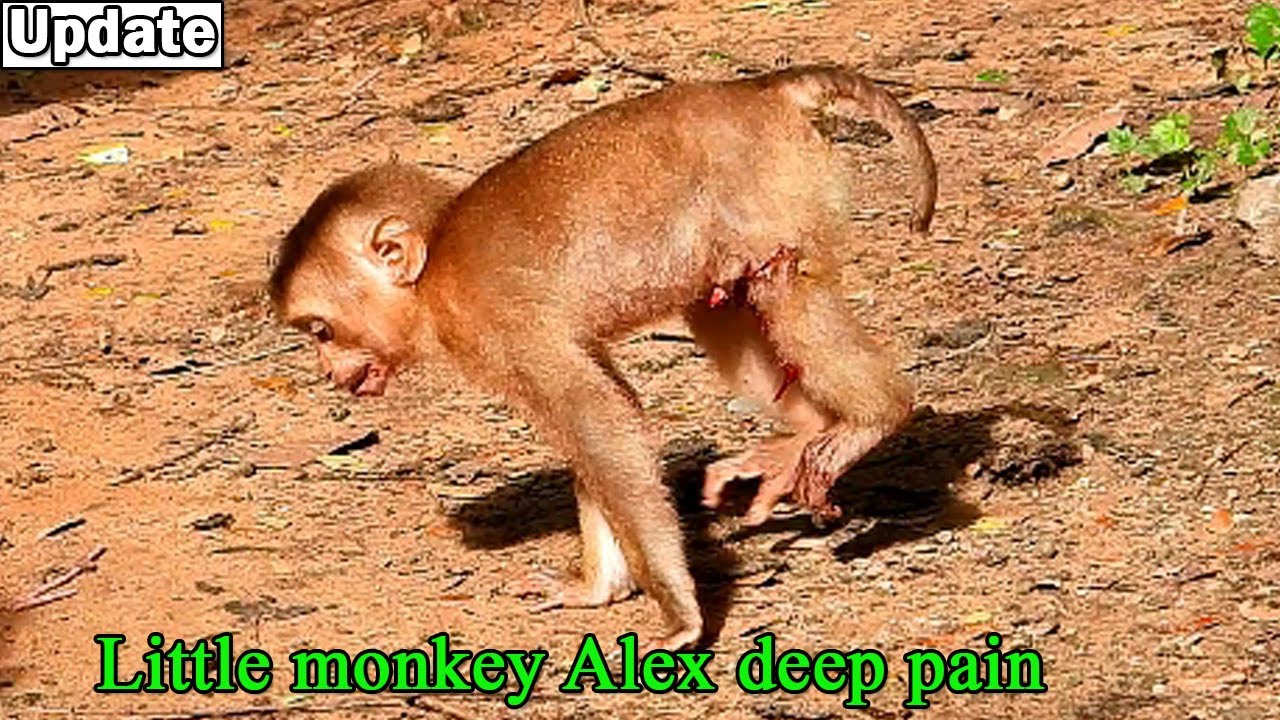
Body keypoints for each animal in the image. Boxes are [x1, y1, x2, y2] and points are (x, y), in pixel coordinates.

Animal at [270, 65, 937, 648]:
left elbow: (596, 418)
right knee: (726, 309)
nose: (328, 371)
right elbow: (612, 409)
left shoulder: (497, 323)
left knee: (783, 291)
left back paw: (876, 416)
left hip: (773, 193)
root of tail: (757, 89)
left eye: (321, 331)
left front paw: (681, 615)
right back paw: (807, 435)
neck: (432, 277)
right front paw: (598, 589)